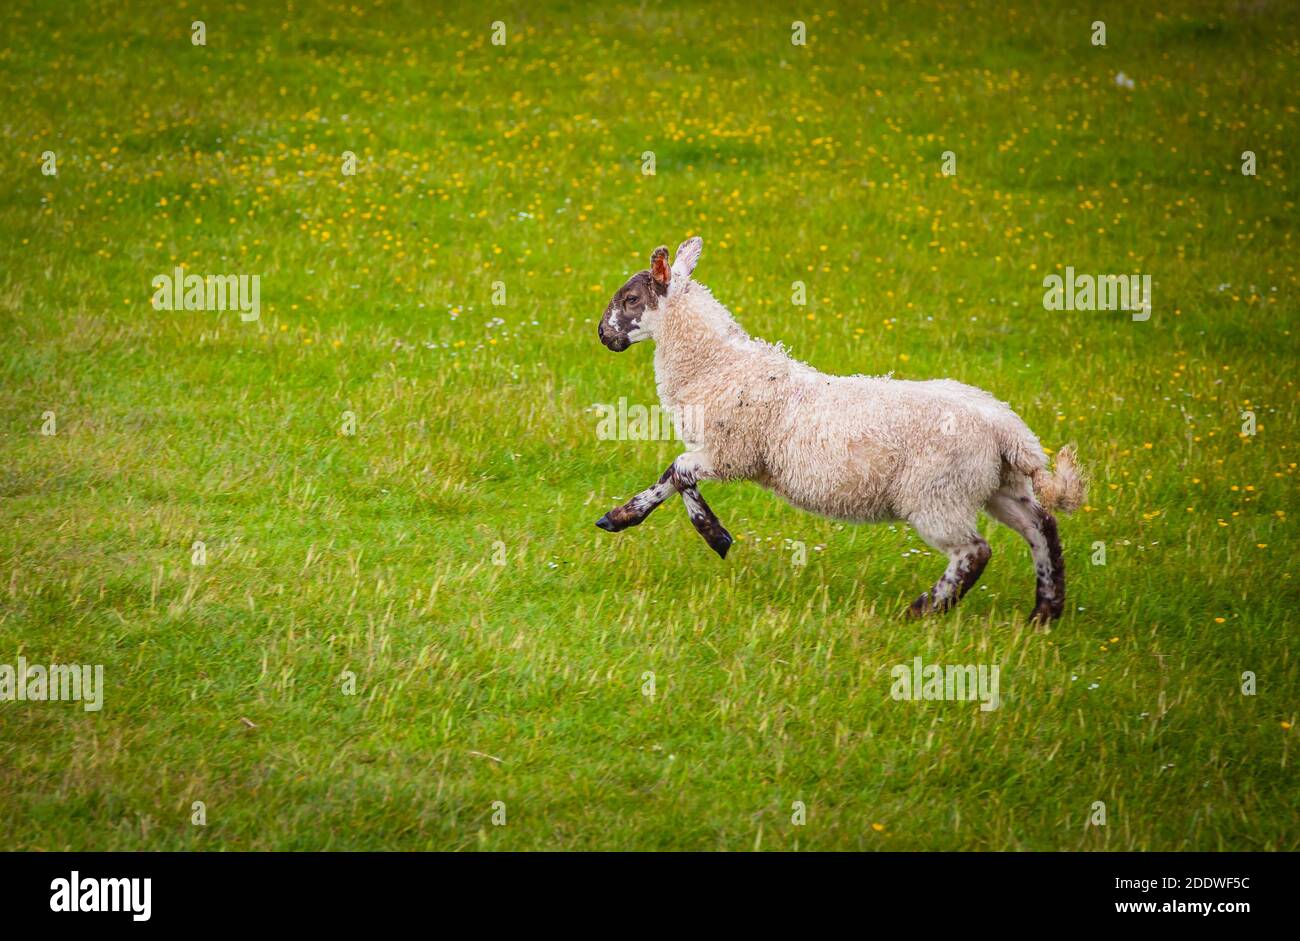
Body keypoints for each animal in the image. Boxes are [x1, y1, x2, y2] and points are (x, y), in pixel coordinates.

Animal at [595, 236, 1086, 623]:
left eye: (631, 299)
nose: (602, 335)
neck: (716, 364)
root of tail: (1010, 431)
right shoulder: (727, 452)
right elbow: (676, 478)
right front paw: (629, 520)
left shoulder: (733, 452)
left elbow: (677, 473)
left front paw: (707, 534)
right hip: (993, 484)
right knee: (1041, 526)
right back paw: (1044, 614)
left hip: (937, 491)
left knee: (974, 551)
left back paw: (921, 611)